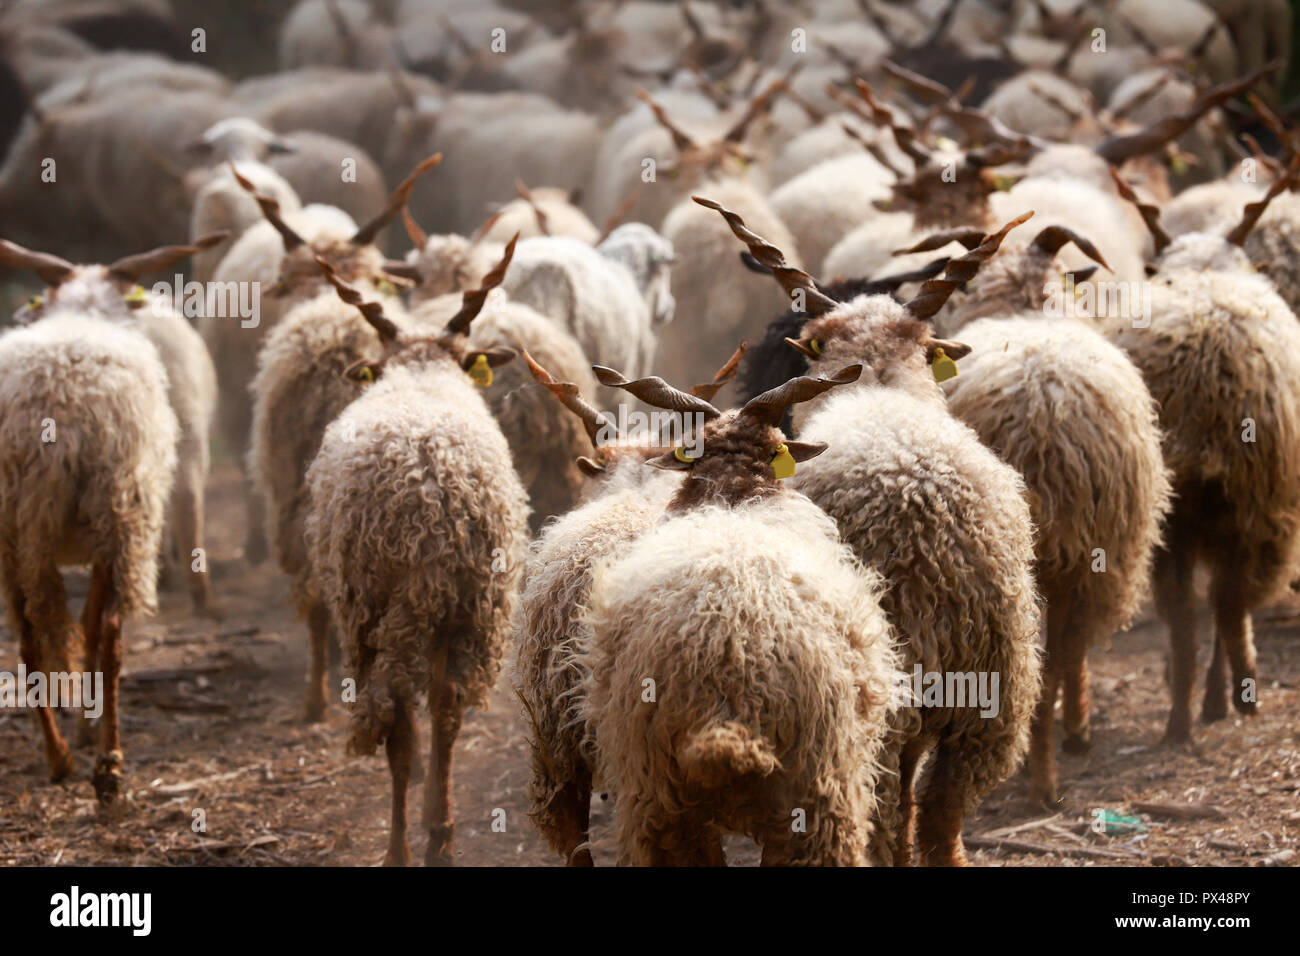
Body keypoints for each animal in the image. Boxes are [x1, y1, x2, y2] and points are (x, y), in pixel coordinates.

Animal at [0, 300, 177, 803]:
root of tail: (64, 395)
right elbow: (92, 628)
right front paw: (86, 724)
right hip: (120, 511)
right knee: (107, 636)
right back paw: (101, 761)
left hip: (30, 530)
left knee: (32, 642)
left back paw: (70, 758)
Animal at [304, 242, 529, 867]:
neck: (423, 371)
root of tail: (427, 485)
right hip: (469, 606)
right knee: (444, 713)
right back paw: (437, 838)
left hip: (377, 611)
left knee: (405, 723)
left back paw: (404, 846)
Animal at [705, 199, 1041, 865]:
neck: (881, 383)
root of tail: (931, 534)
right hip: (996, 698)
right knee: (943, 810)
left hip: (880, 706)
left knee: (886, 812)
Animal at [921, 222, 1174, 806]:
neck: (1025, 305)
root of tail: (1045, 416)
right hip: (1093, 554)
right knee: (1064, 651)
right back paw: (1050, 769)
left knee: (1053, 657)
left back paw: (1044, 768)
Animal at [1103, 167, 1300, 743]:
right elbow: (1230, 607)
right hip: (1246, 503)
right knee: (1225, 606)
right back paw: (1227, 694)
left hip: (1171, 512)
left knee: (1187, 611)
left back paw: (1180, 714)